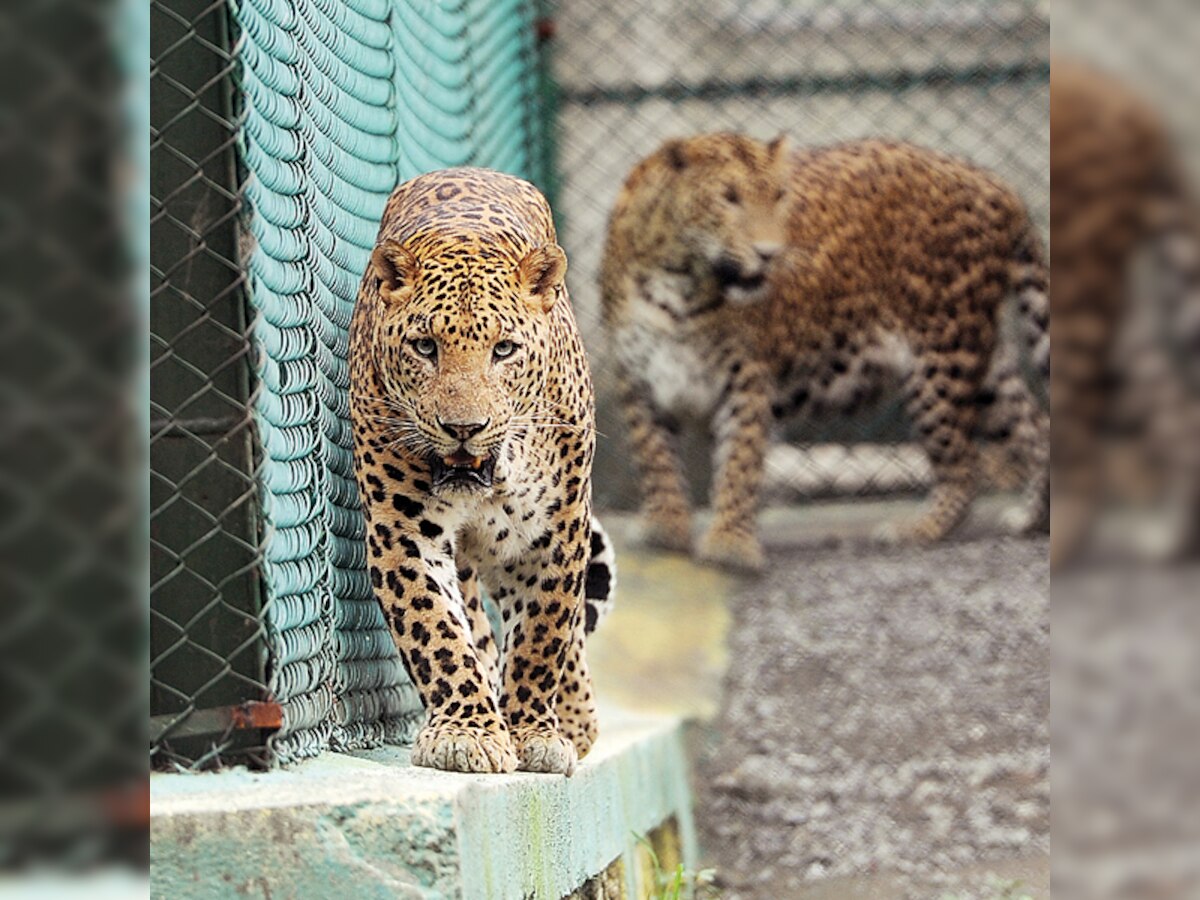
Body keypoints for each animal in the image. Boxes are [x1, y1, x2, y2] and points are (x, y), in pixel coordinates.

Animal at [349, 167, 614, 775]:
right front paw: (467, 731)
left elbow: (543, 634)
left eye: (505, 350)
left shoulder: (555, 533)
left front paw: (533, 732)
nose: (464, 428)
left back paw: (575, 719)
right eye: (425, 347)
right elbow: (435, 630)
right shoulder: (402, 533)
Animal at [601, 133, 1050, 573]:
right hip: (980, 363)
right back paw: (1034, 519)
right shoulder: (634, 378)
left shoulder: (746, 377)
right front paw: (666, 528)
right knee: (1032, 425)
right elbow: (655, 456)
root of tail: (996, 183)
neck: (680, 282)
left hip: (943, 357)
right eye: (728, 197)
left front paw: (730, 544)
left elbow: (740, 461)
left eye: (778, 195)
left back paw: (918, 530)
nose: (769, 253)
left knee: (965, 463)